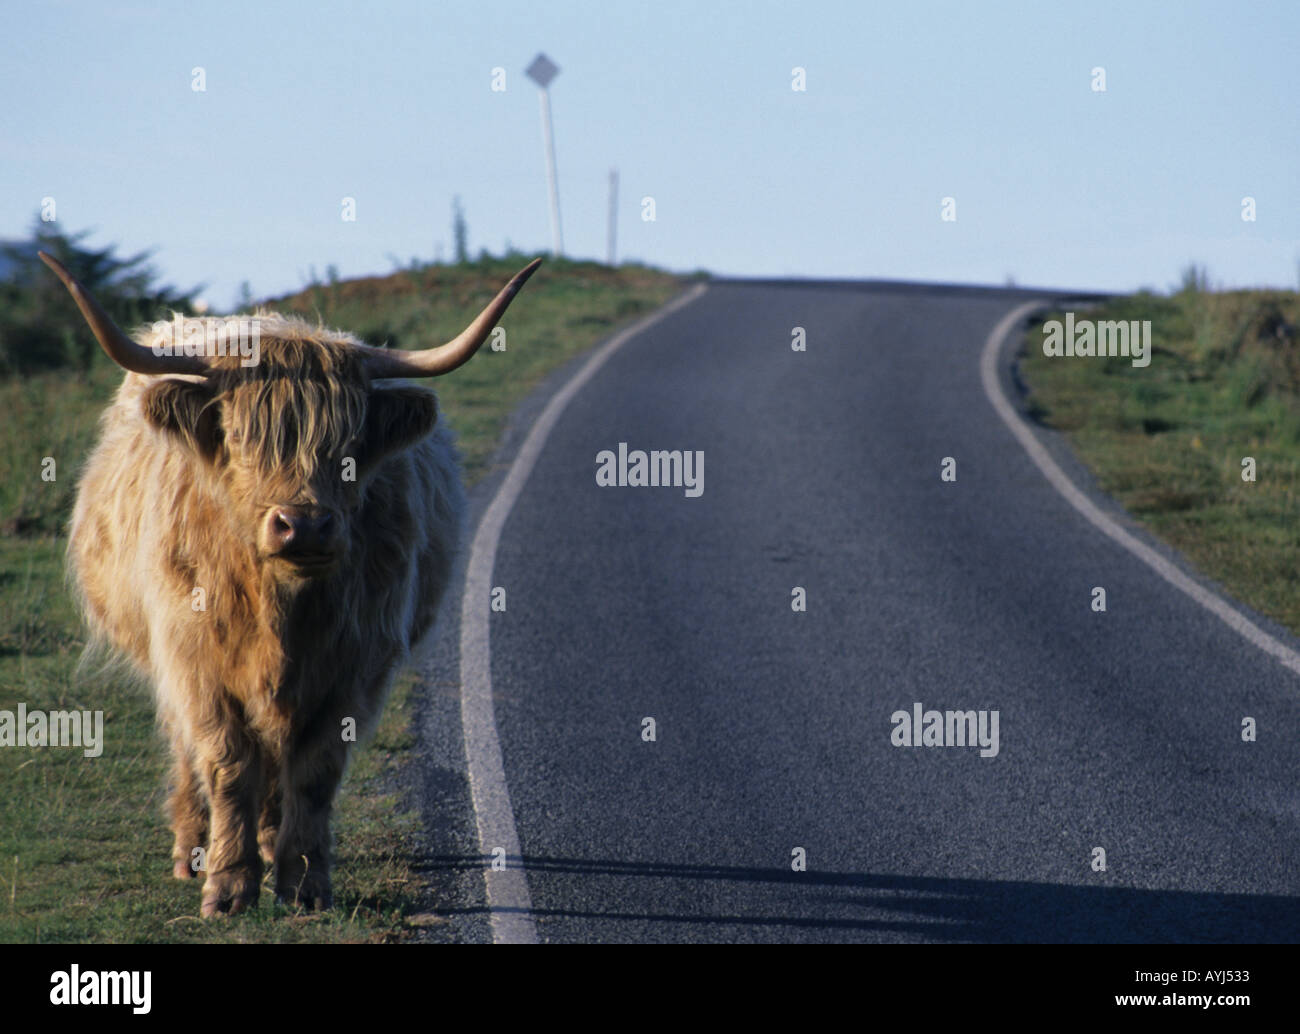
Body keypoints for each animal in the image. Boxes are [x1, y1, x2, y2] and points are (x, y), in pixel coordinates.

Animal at [40, 251, 540, 916]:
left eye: (351, 445)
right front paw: (228, 884)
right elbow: (227, 762)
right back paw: (192, 847)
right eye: (241, 437)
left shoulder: (356, 667)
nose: (302, 525)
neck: (280, 606)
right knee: (189, 750)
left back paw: (271, 840)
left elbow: (315, 768)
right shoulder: (195, 658)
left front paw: (303, 880)